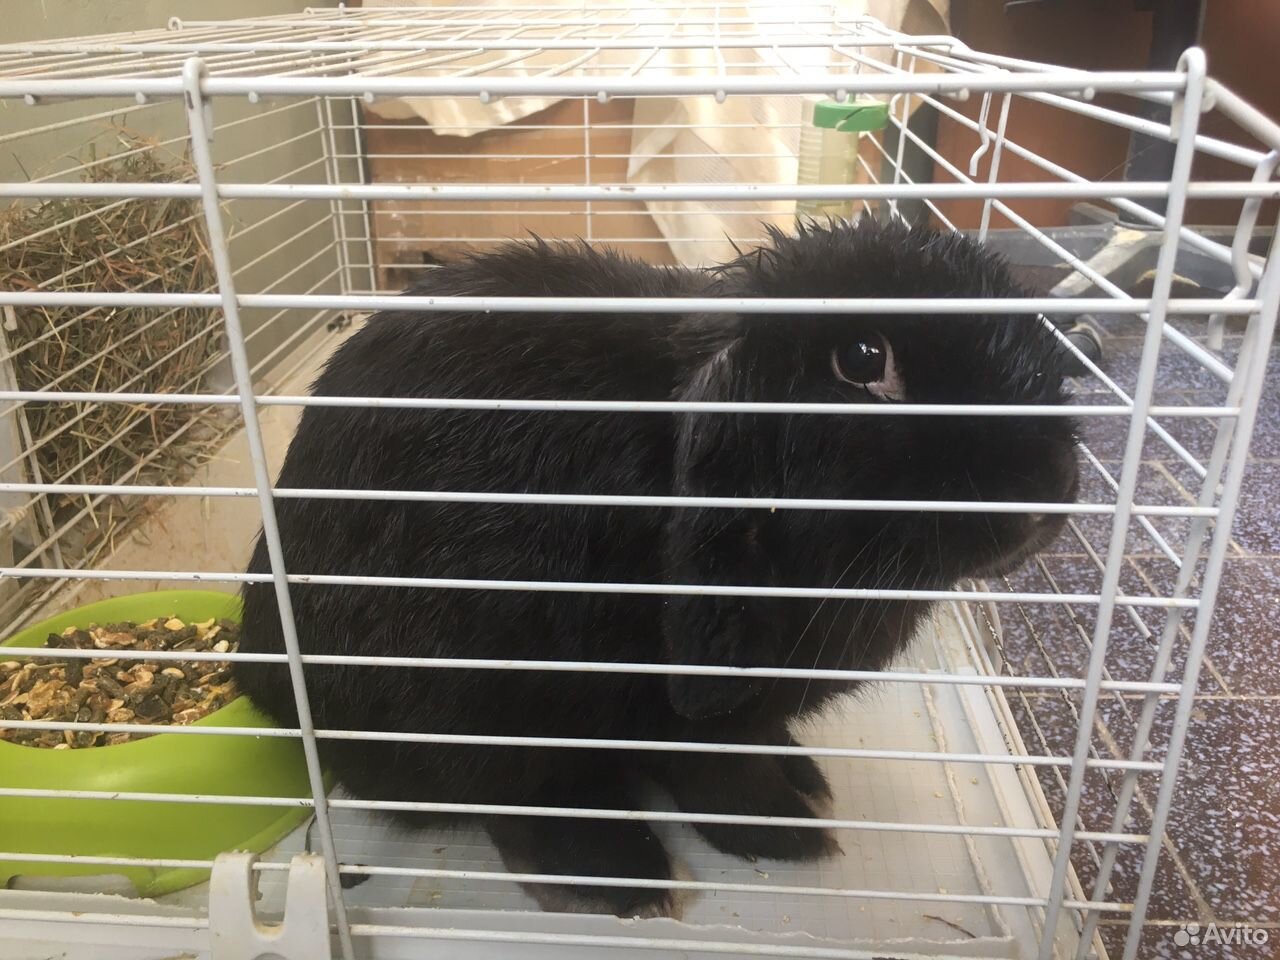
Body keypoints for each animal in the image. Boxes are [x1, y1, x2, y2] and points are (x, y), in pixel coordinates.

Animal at [236, 218, 1079, 918]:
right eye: (864, 358)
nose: (1043, 502)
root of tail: (263, 673)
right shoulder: (693, 717)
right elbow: (718, 777)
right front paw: (787, 833)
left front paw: (801, 781)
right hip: (475, 691)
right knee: (514, 795)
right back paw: (622, 879)